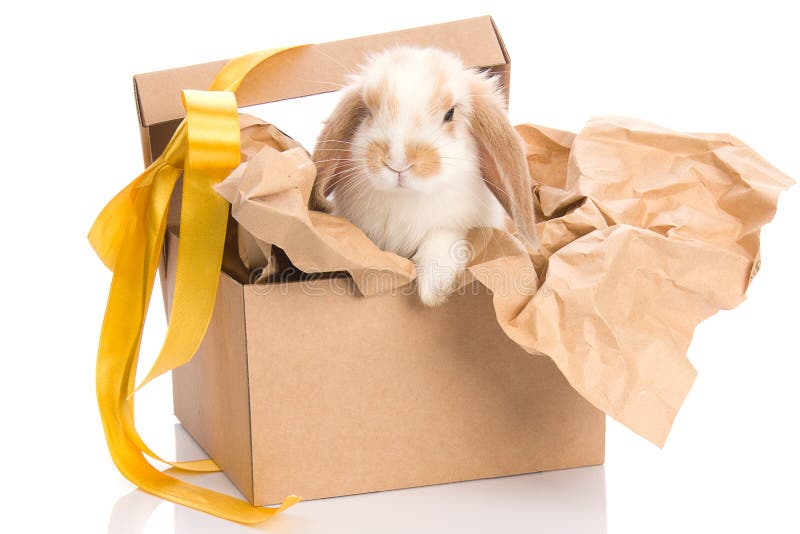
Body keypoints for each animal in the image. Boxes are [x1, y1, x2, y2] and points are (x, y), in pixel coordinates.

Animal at [310, 45, 538, 306]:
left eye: (450, 113)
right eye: (368, 111)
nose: (398, 163)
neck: (406, 198)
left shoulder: (458, 226)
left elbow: (443, 239)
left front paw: (433, 290)